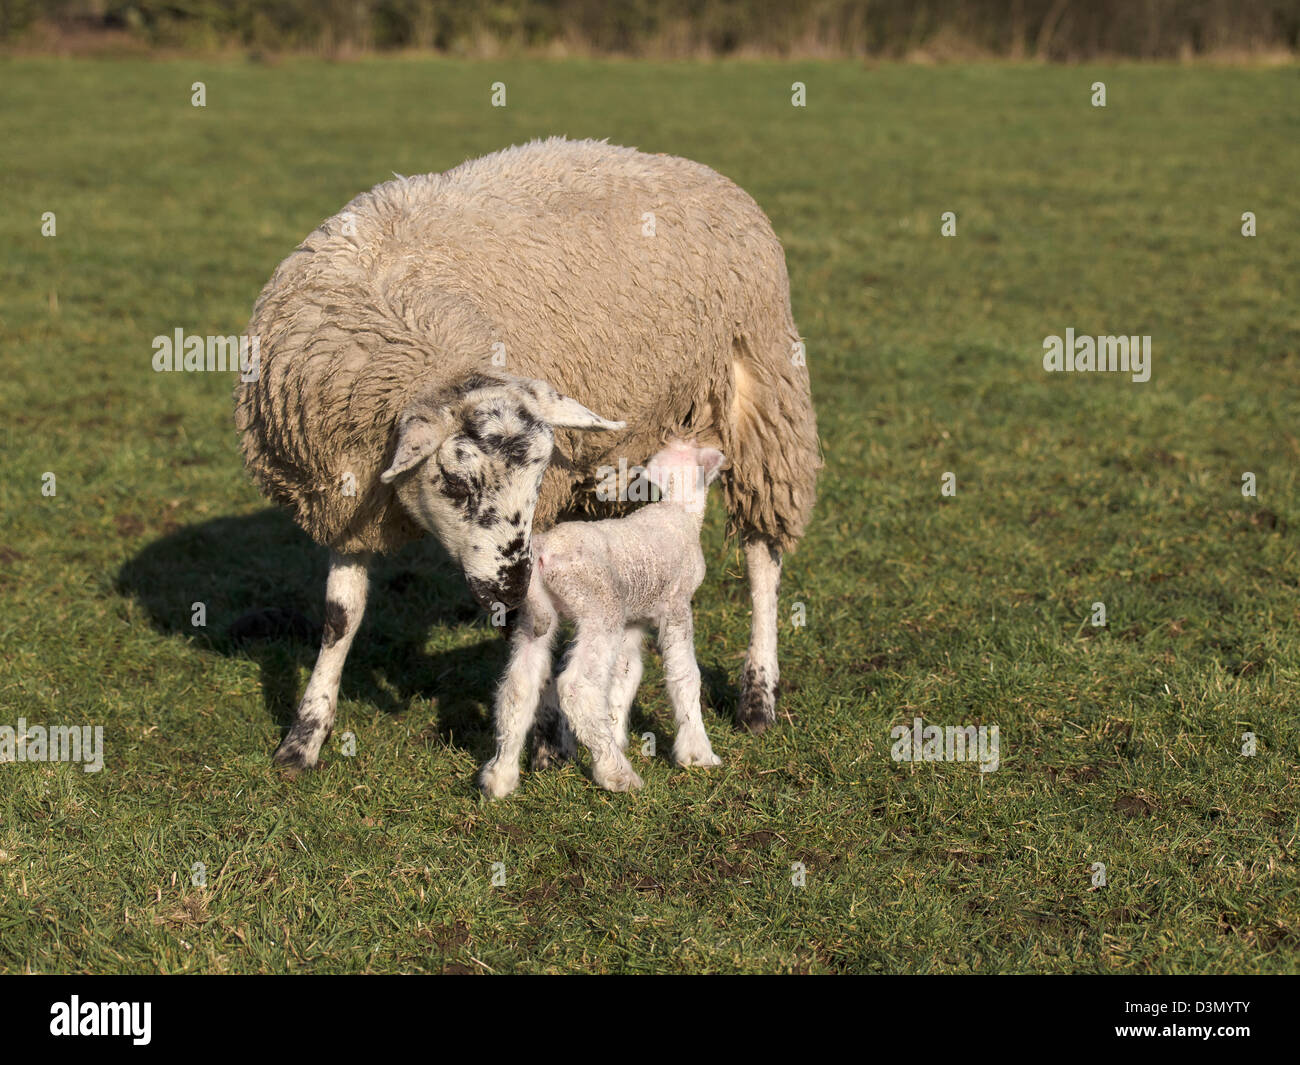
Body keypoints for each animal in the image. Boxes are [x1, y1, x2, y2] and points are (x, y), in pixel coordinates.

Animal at [480, 441, 726, 798]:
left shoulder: (633, 620)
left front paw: (617, 731)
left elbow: (627, 674)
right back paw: (616, 773)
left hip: (537, 615)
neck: (678, 510)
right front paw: (697, 753)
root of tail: (543, 552)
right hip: (599, 606)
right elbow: (684, 675)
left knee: (518, 686)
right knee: (578, 688)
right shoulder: (677, 606)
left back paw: (501, 776)